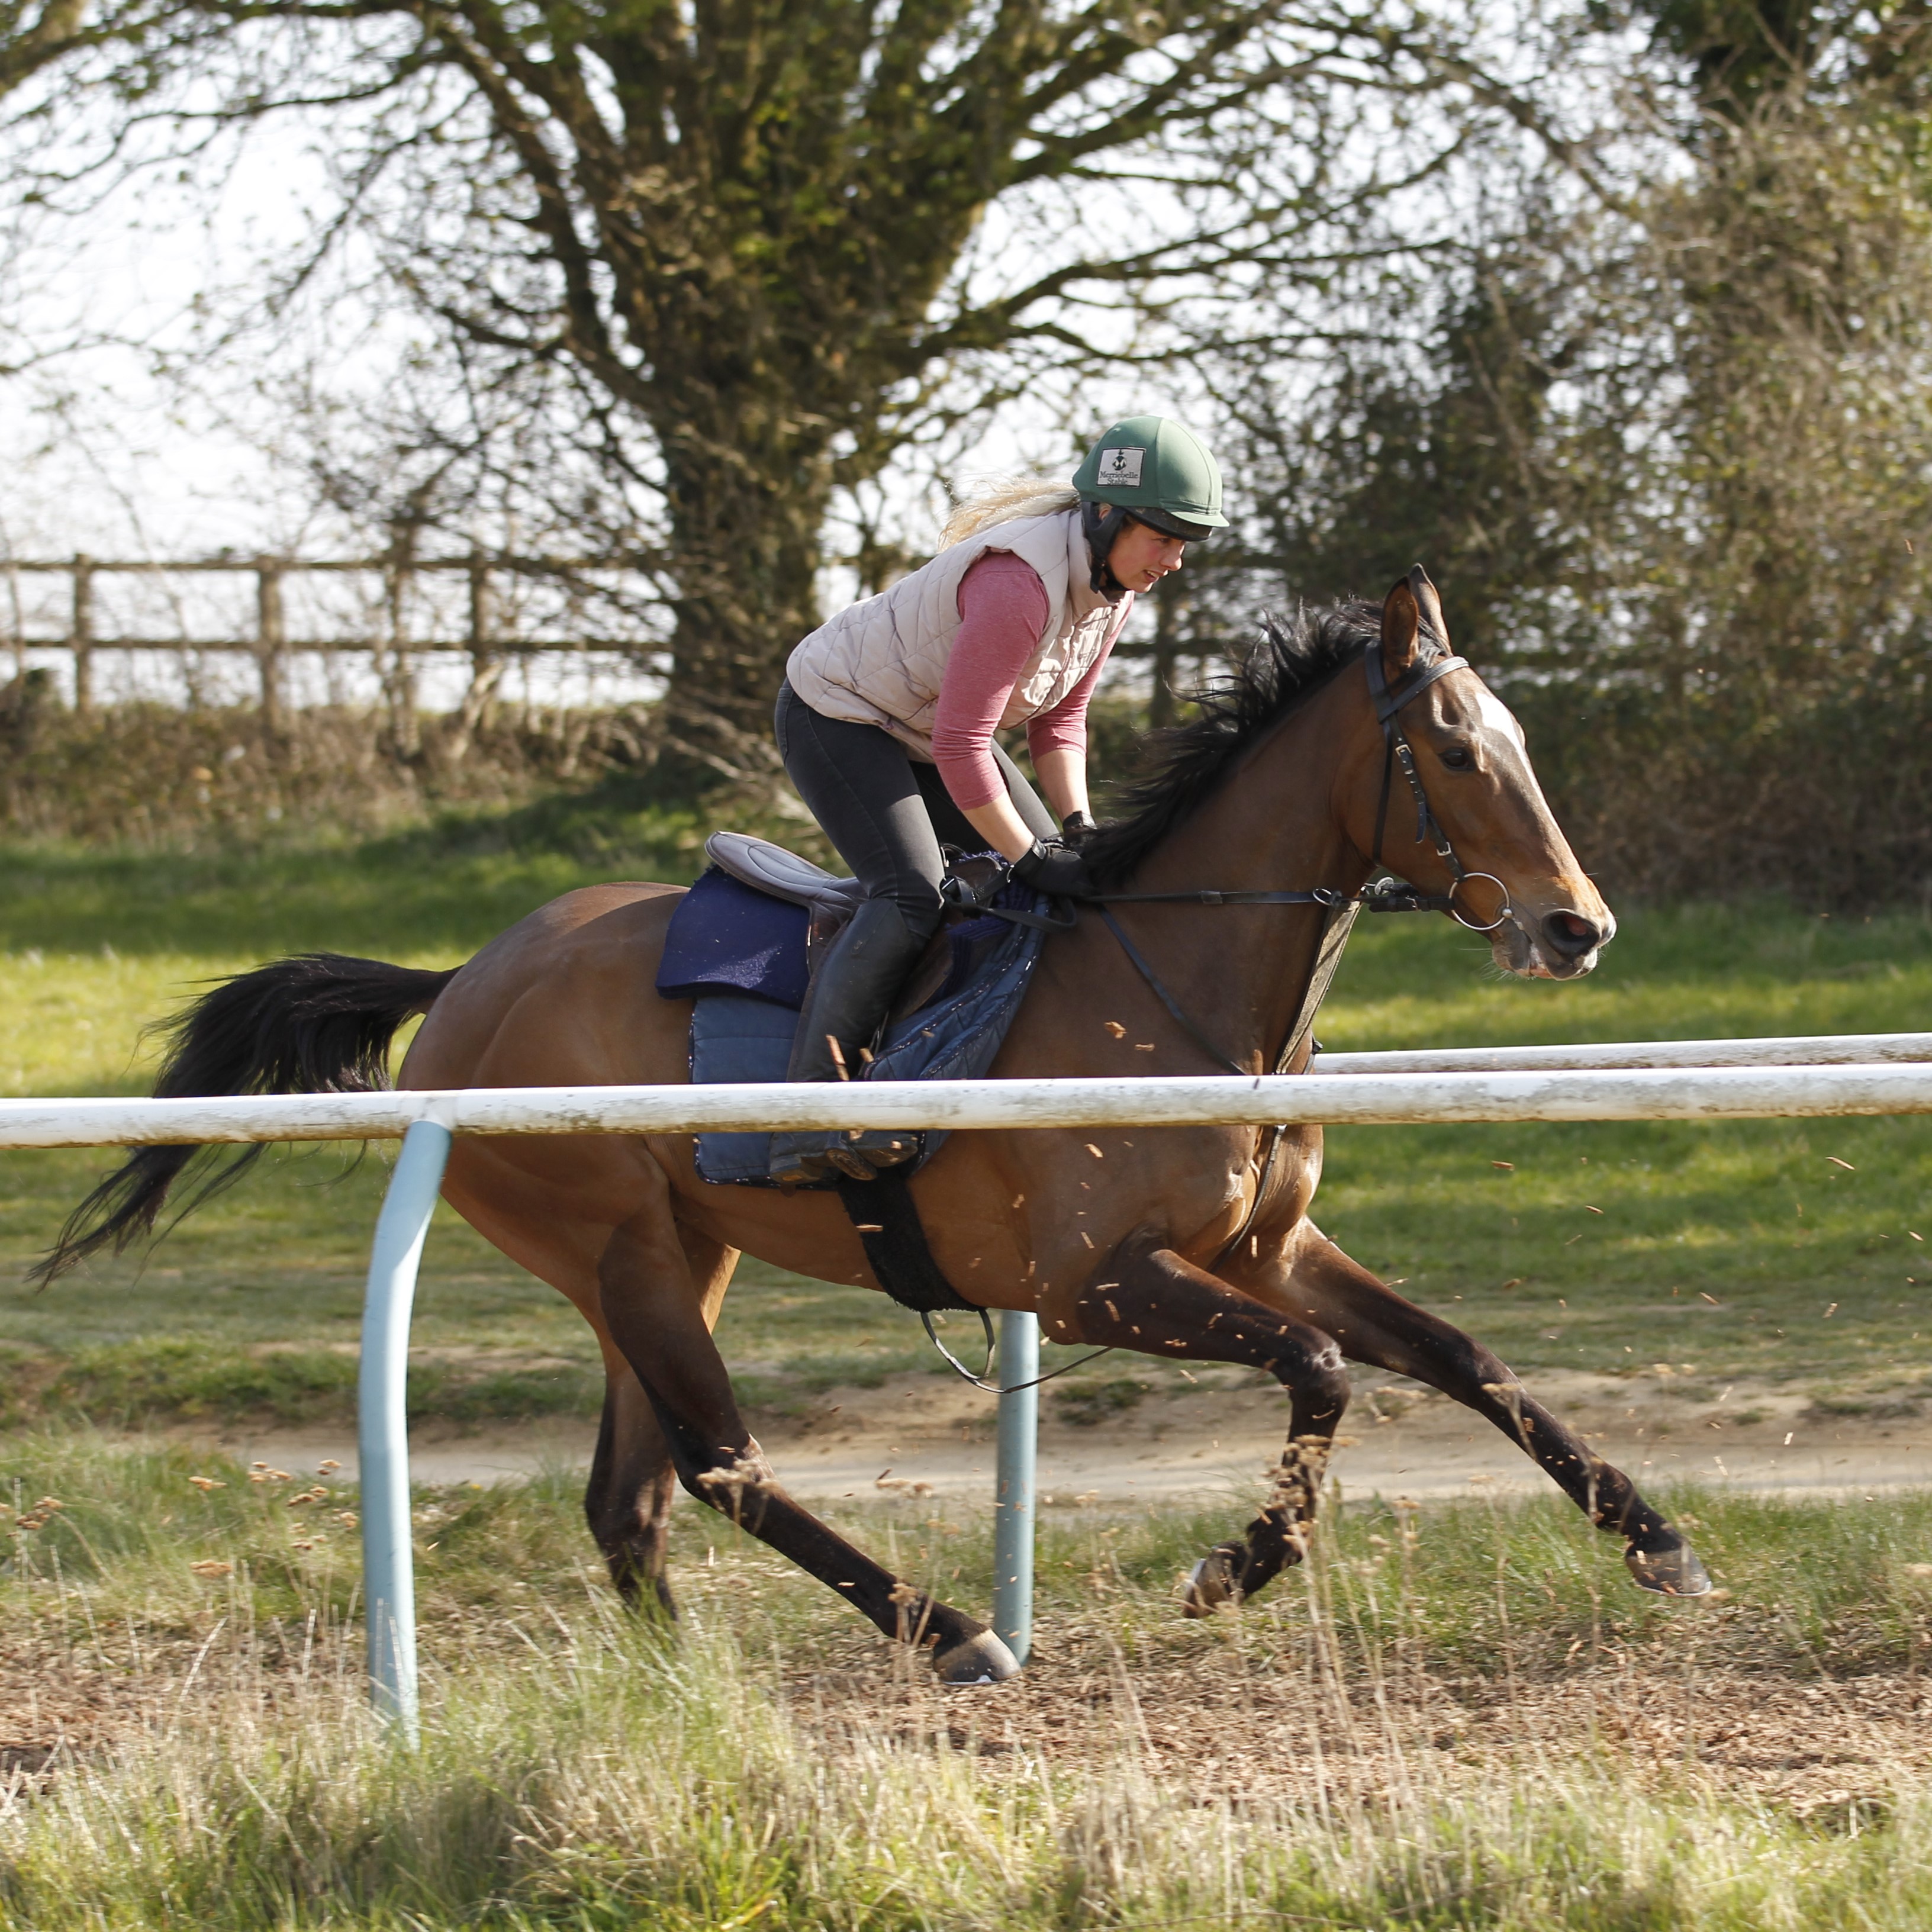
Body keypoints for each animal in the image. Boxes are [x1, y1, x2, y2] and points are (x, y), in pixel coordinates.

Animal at [39, 570, 1711, 1685]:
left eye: (1517, 741)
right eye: (1455, 754)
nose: (1578, 926)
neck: (1181, 988)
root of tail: (463, 981)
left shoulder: (1268, 1247)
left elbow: (1459, 1357)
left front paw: (1654, 1536)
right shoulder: (1088, 1281)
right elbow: (1318, 1370)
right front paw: (1234, 1568)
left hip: (676, 1257)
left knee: (634, 1495)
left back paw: (684, 1685)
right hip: (618, 1245)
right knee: (718, 1465)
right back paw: (952, 1629)